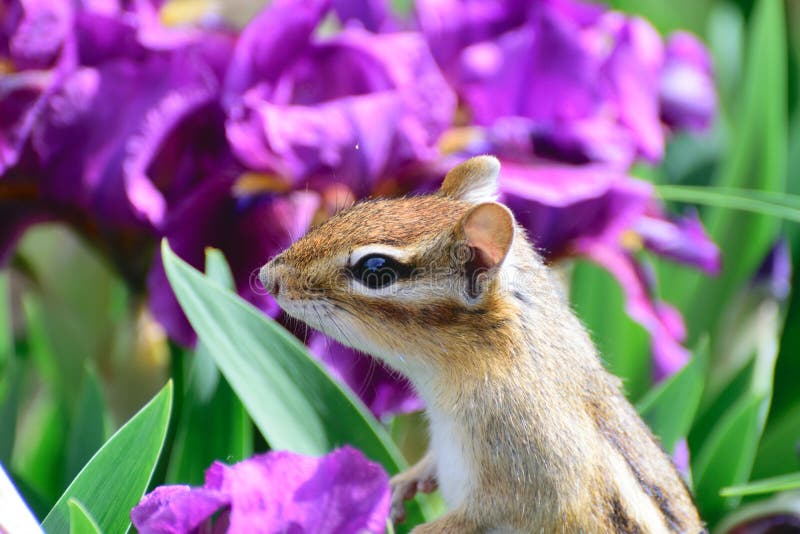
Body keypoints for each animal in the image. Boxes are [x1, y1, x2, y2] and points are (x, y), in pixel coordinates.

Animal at [259, 156, 704, 533]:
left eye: (375, 269)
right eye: (361, 208)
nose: (267, 276)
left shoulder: (534, 473)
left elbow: (487, 514)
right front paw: (403, 485)